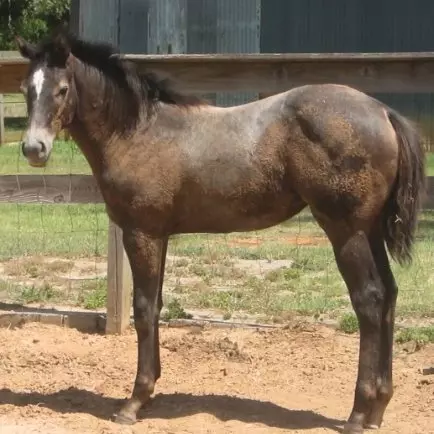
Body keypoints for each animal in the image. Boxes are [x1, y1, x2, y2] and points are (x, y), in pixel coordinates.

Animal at [16, 28, 424, 432]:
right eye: (26, 89)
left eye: (62, 89)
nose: (34, 148)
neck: (138, 133)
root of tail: (383, 112)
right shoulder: (160, 235)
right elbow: (157, 305)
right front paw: (149, 392)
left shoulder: (141, 233)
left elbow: (144, 308)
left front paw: (134, 401)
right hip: (369, 231)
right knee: (388, 294)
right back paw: (378, 409)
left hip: (346, 231)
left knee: (369, 299)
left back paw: (358, 413)